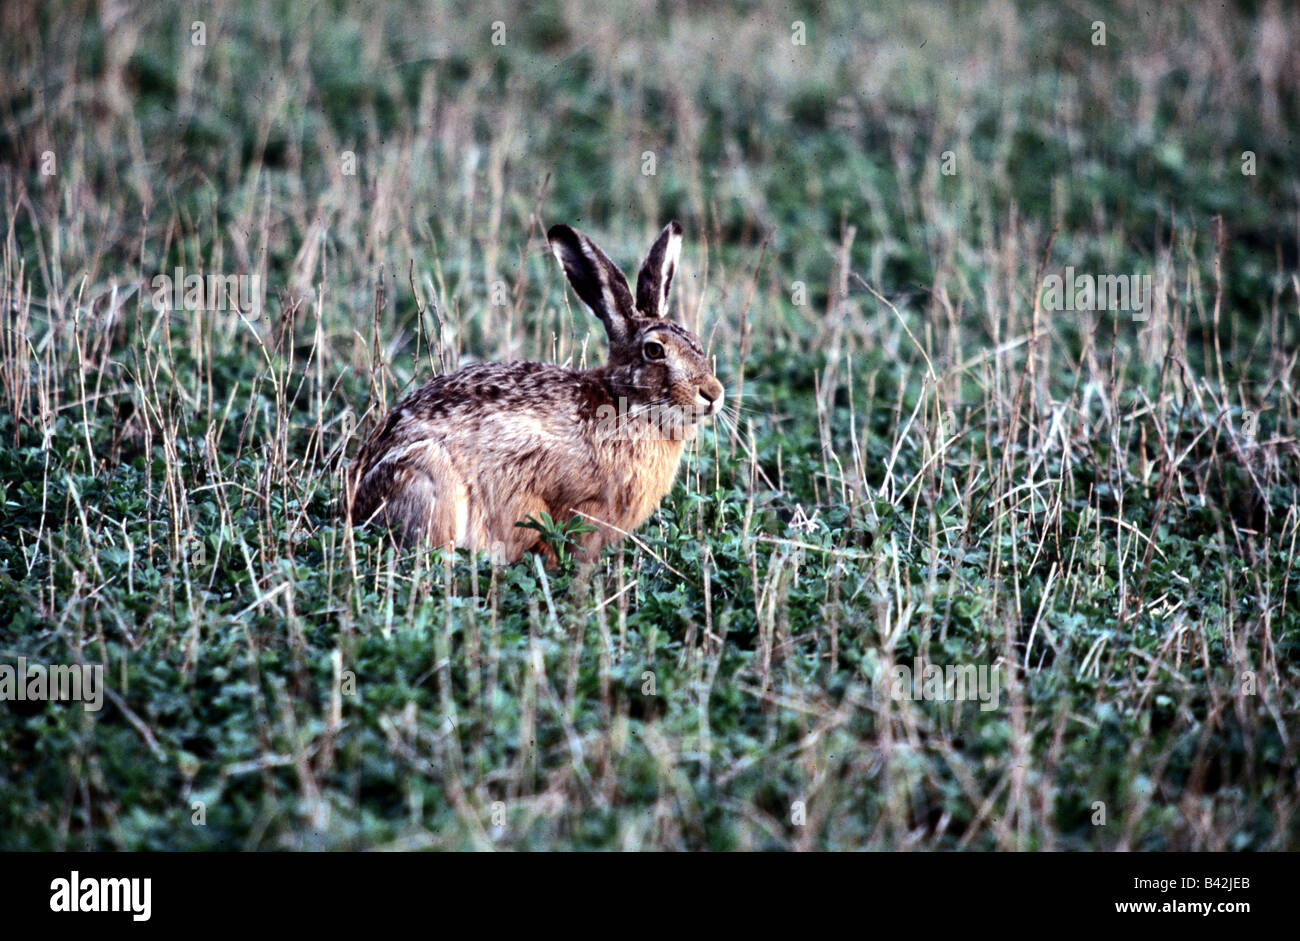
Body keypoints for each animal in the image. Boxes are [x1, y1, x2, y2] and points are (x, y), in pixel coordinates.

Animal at [345, 221, 724, 564]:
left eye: (697, 343)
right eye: (655, 351)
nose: (713, 393)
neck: (625, 402)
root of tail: (355, 500)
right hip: (426, 476)